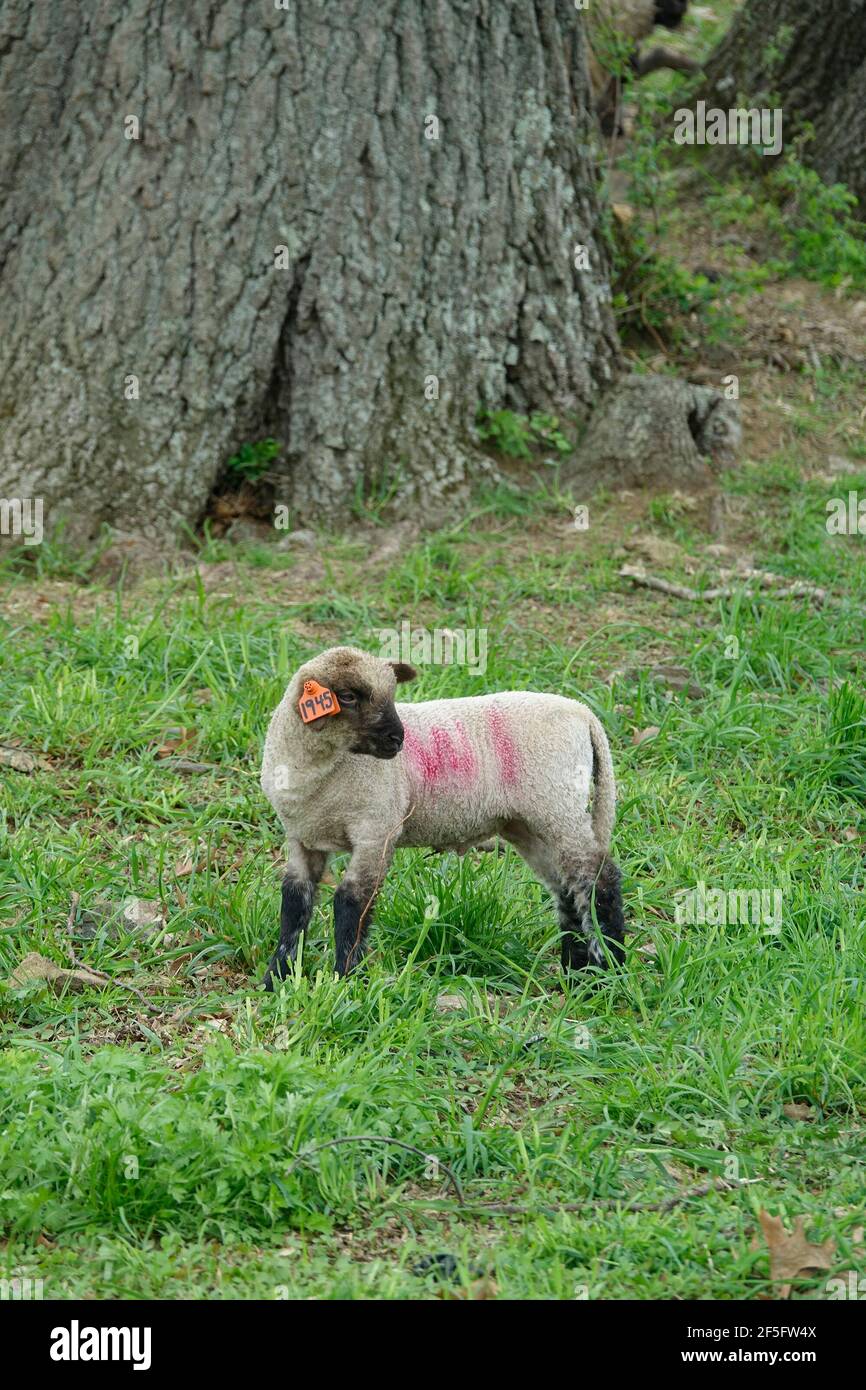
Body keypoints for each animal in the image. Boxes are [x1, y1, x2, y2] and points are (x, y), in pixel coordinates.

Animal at [259, 646, 626, 987]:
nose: (398, 739)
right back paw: (575, 973)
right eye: (348, 697)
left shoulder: (376, 831)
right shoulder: (302, 838)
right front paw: (276, 978)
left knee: (598, 880)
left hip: (558, 807)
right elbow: (294, 903)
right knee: (568, 890)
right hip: (529, 824)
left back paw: (610, 970)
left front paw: (345, 979)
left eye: (392, 694)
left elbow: (351, 902)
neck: (317, 772)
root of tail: (582, 713)